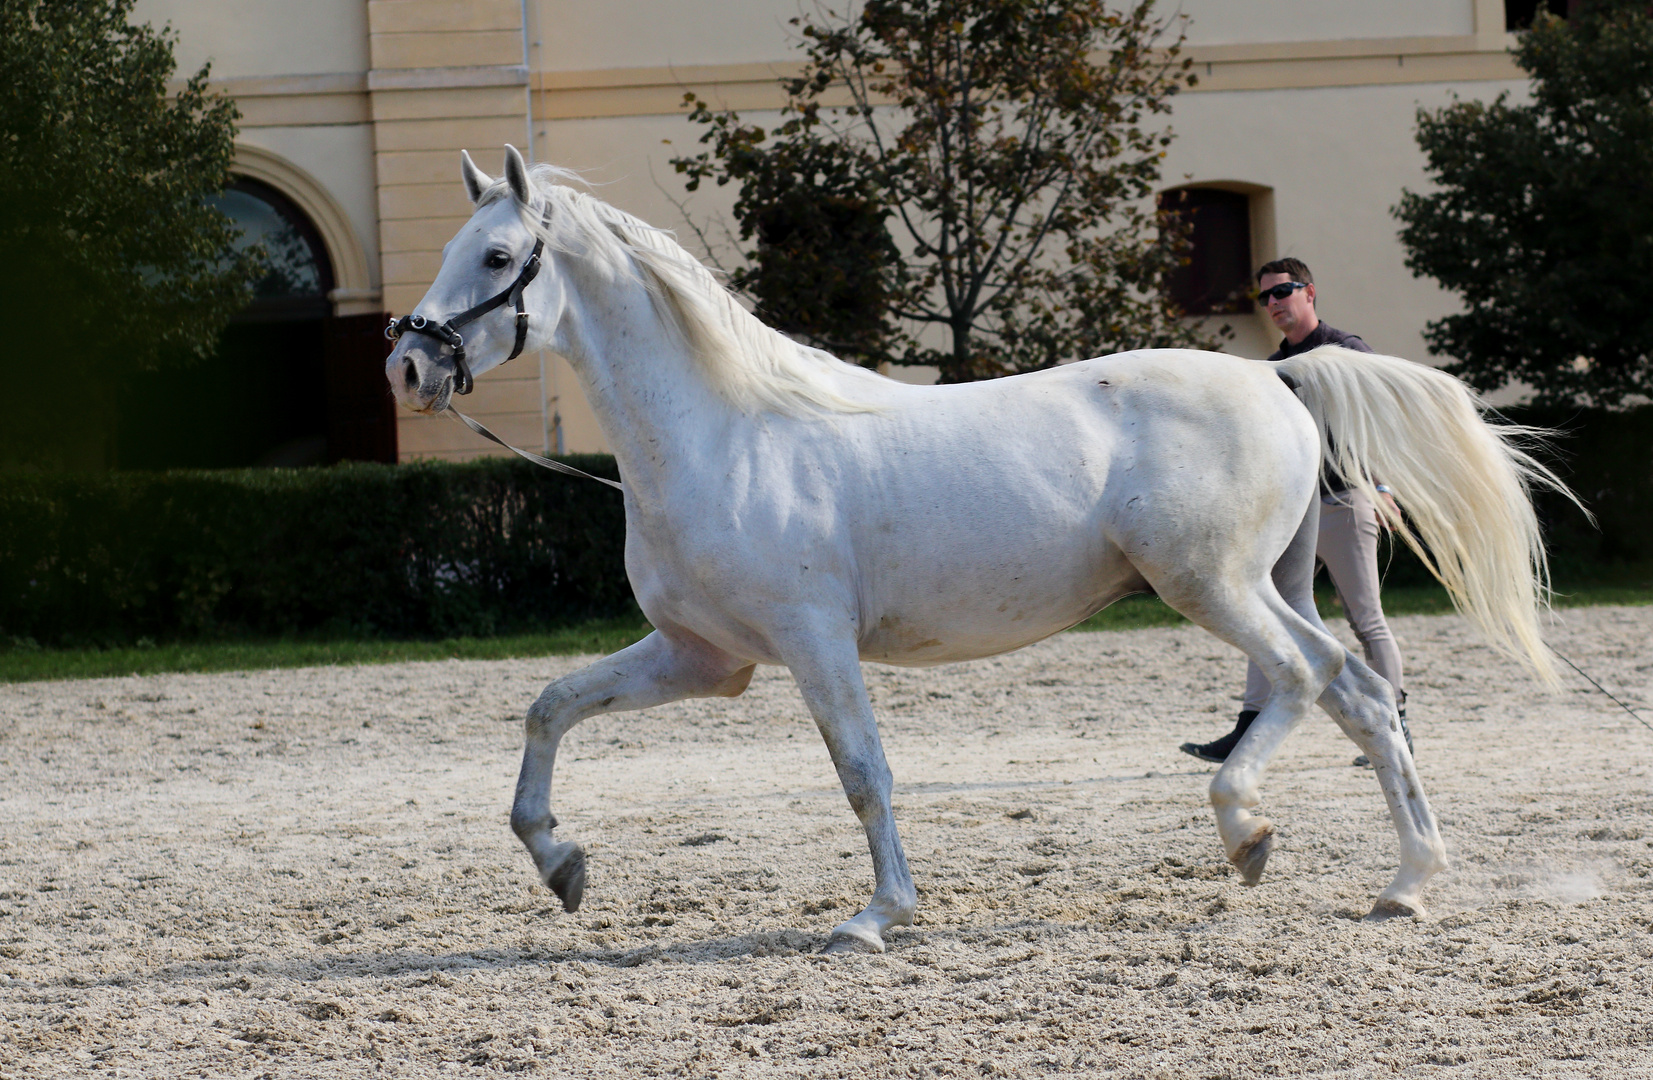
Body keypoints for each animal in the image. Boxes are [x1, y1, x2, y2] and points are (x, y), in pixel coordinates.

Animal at [386, 145, 1568, 953]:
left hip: (1211, 585)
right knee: (1360, 695)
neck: (724, 431)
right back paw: (1405, 883)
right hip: (1272, 581)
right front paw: (561, 864)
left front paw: (876, 917)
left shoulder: (814, 643)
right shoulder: (702, 659)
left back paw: (1248, 832)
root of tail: (1276, 373)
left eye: (498, 256)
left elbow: (863, 773)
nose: (409, 365)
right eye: (447, 250)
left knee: (1305, 674)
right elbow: (549, 707)